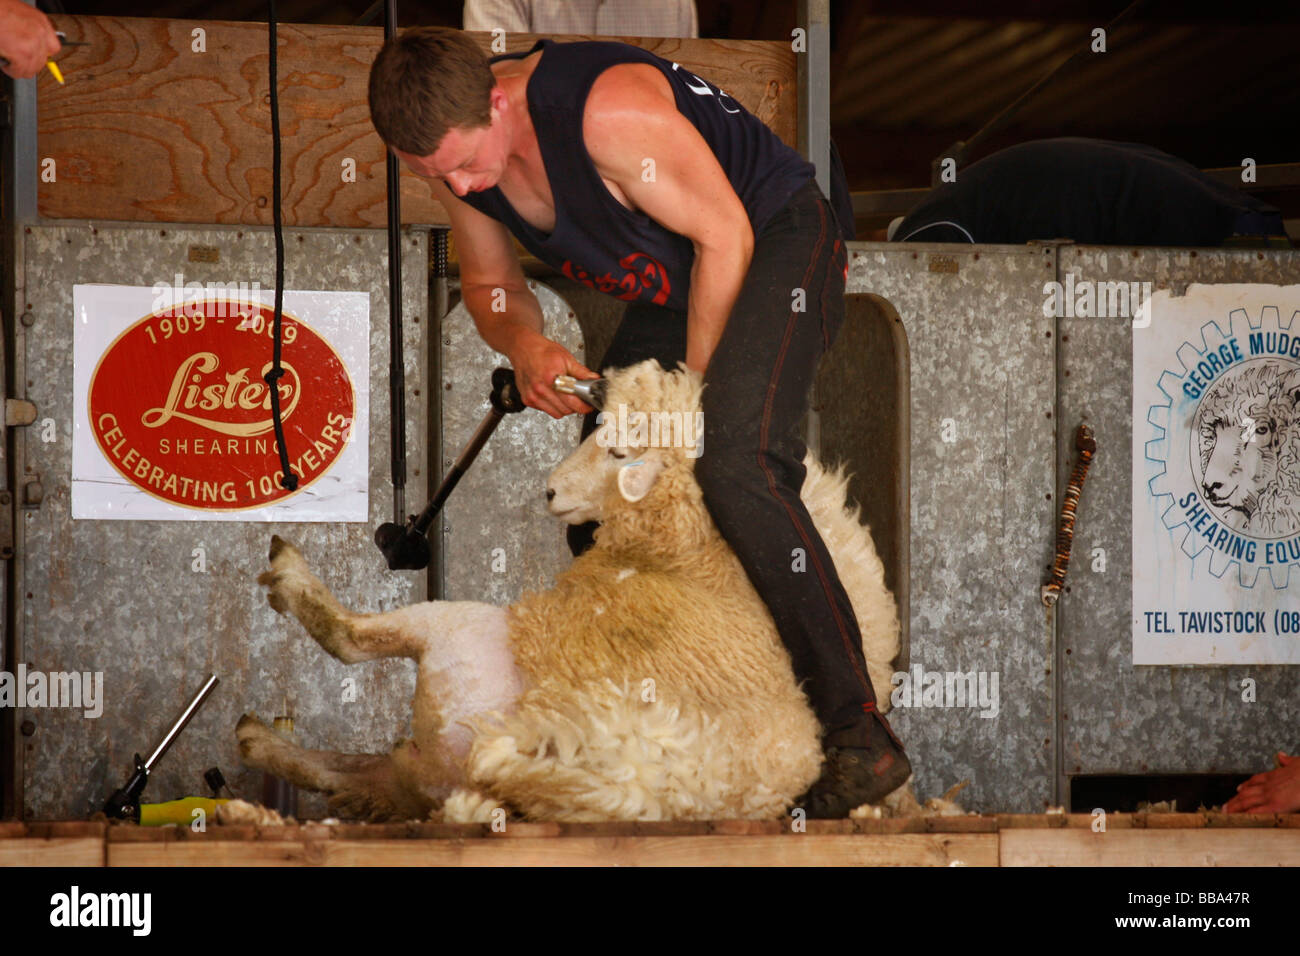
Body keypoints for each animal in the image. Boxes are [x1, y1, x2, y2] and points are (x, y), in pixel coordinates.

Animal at [238, 359, 902, 822]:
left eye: (620, 450)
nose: (550, 491)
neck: (697, 552)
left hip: (462, 635)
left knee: (350, 641)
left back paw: (288, 575)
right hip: (418, 760)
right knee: (346, 769)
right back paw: (260, 739)